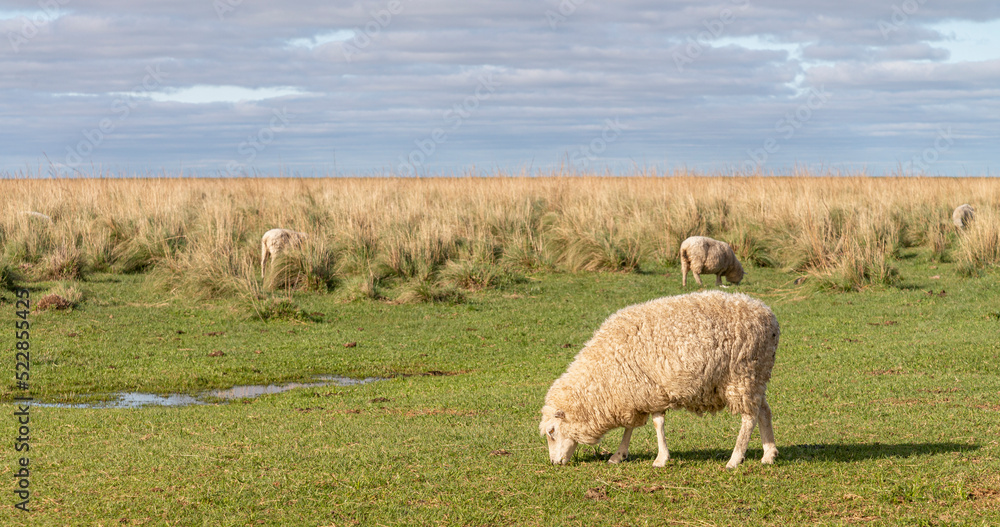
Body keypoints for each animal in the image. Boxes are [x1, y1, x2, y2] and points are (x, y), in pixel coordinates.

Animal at [539, 290, 779, 469]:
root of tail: (767, 313)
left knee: (748, 418)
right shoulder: (637, 392)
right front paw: (619, 455)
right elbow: (631, 426)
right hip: (756, 376)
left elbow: (657, 424)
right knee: (763, 411)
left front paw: (660, 458)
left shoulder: (651, 391)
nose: (554, 462)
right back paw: (769, 454)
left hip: (742, 375)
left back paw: (735, 458)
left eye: (552, 432)